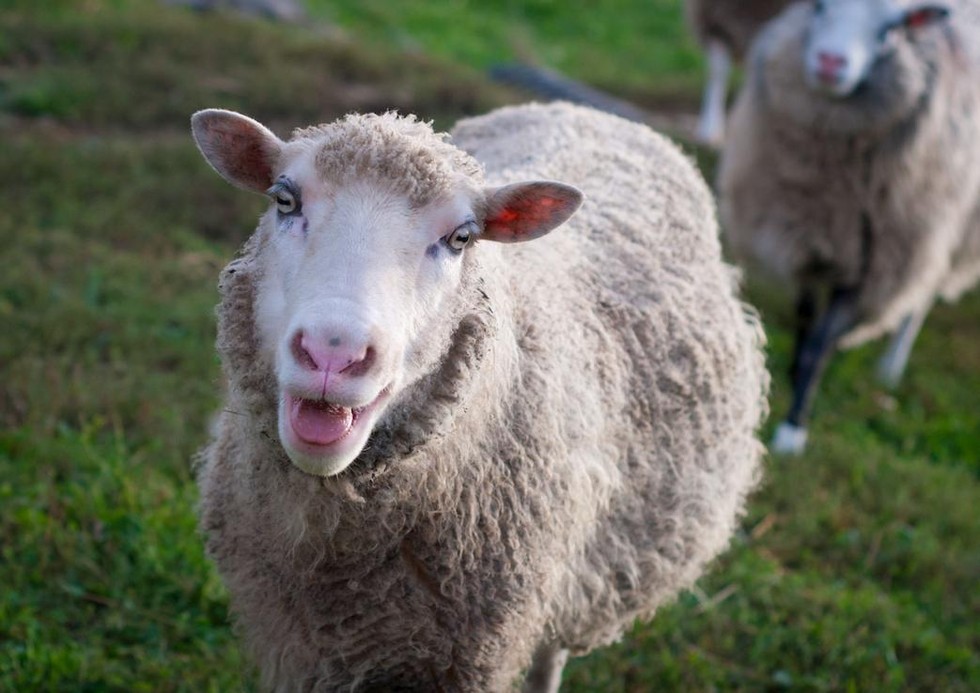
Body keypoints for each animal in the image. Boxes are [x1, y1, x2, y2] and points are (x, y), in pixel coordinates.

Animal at [190, 101, 769, 692]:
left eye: (461, 238)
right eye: (284, 200)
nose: (334, 353)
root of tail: (588, 109)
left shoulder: (470, 651)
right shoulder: (296, 646)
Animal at [717, 0, 980, 454]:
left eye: (889, 31)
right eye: (818, 7)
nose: (830, 62)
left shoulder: (873, 266)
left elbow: (822, 343)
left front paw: (793, 428)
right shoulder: (804, 243)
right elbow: (806, 321)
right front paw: (792, 377)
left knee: (921, 297)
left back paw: (891, 364)